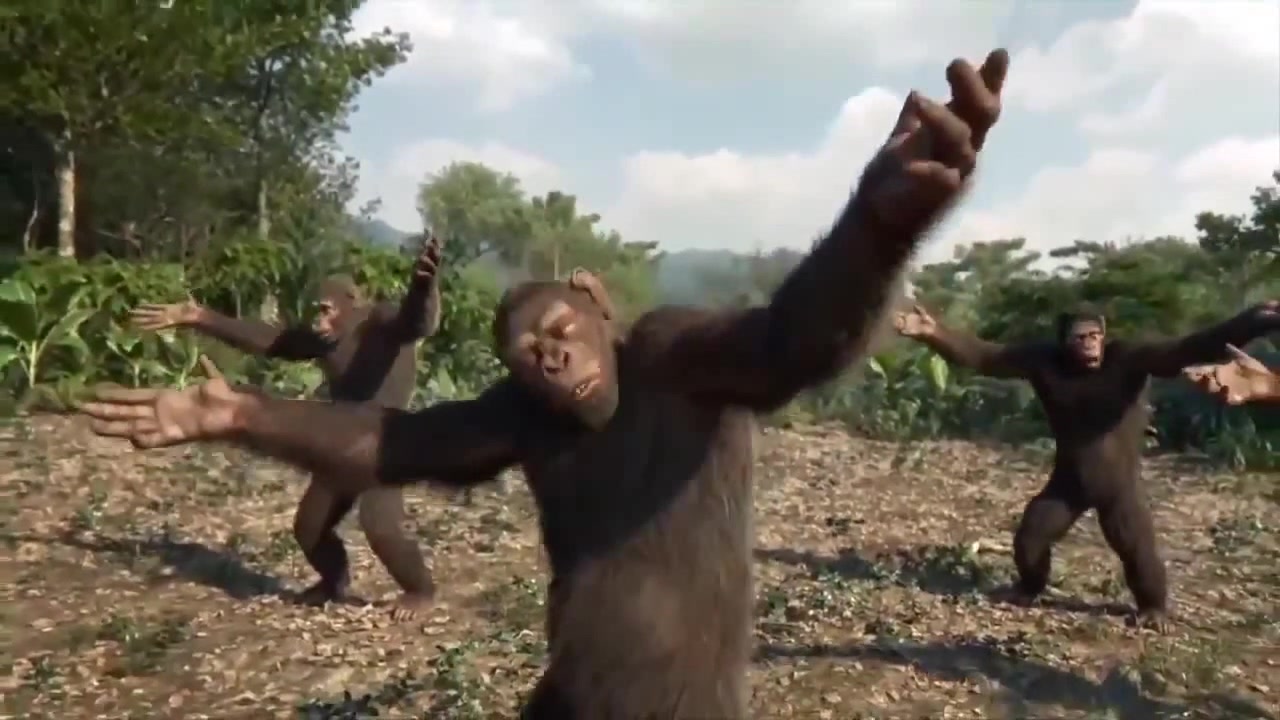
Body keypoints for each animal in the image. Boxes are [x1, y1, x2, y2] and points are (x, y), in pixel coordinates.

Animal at [128, 234, 445, 620]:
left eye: (325, 307)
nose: (319, 319)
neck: (351, 325)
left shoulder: (387, 321)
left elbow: (416, 322)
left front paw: (425, 274)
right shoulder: (313, 340)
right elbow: (277, 341)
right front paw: (189, 313)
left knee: (381, 525)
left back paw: (419, 594)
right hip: (333, 476)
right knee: (309, 525)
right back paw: (331, 584)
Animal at [894, 300, 1280, 630]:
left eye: (1095, 334)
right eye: (1081, 336)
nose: (1091, 344)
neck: (1082, 366)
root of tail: (1092, 500)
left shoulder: (1135, 355)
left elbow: (1184, 350)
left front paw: (1260, 318)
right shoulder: (1033, 356)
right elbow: (986, 358)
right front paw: (924, 327)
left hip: (1120, 498)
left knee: (1136, 548)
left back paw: (1152, 608)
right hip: (1066, 491)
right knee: (1033, 535)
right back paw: (1028, 589)